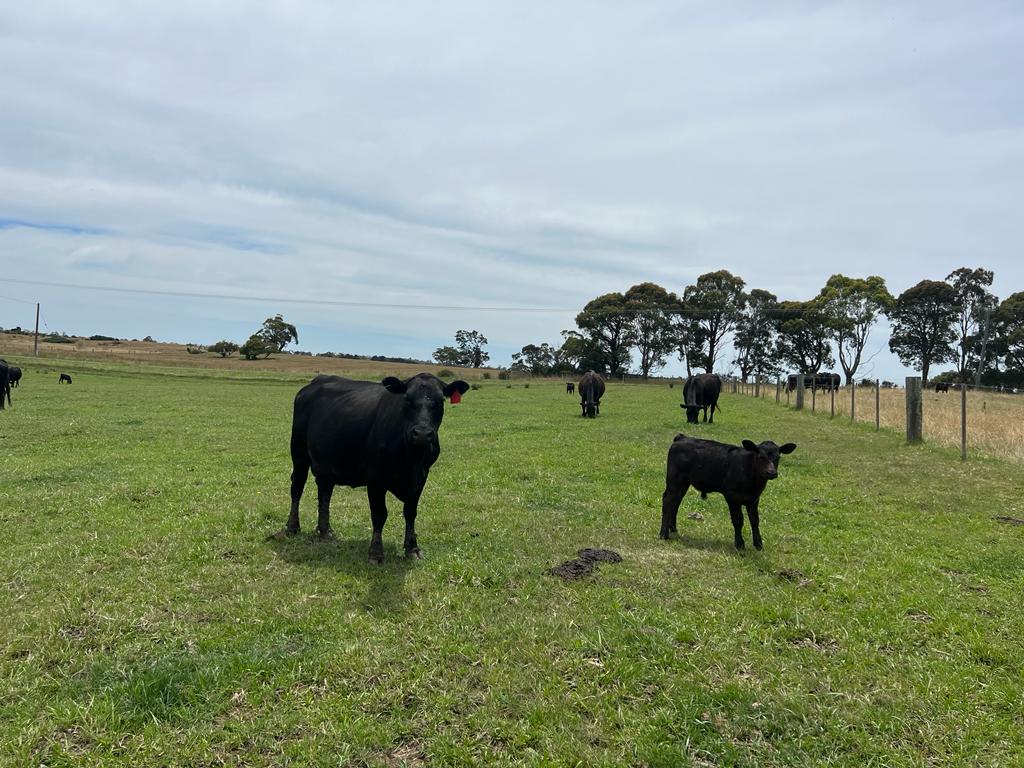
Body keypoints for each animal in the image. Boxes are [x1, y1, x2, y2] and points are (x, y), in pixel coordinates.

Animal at [281, 373, 469, 563]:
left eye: (440, 401)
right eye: (407, 399)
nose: (422, 434)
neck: (411, 459)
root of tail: (315, 382)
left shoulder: (421, 477)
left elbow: (410, 512)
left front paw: (412, 548)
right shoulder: (375, 478)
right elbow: (379, 514)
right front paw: (376, 552)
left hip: (327, 464)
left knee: (324, 494)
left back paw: (325, 531)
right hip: (299, 454)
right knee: (297, 488)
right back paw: (292, 527)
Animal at [660, 434, 797, 550]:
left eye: (778, 457)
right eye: (761, 457)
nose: (771, 473)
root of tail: (682, 437)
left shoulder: (754, 499)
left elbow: (755, 520)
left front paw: (758, 544)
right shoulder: (732, 496)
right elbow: (738, 520)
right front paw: (740, 544)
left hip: (683, 483)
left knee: (676, 501)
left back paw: (673, 529)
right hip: (674, 480)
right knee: (668, 500)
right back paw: (663, 533)